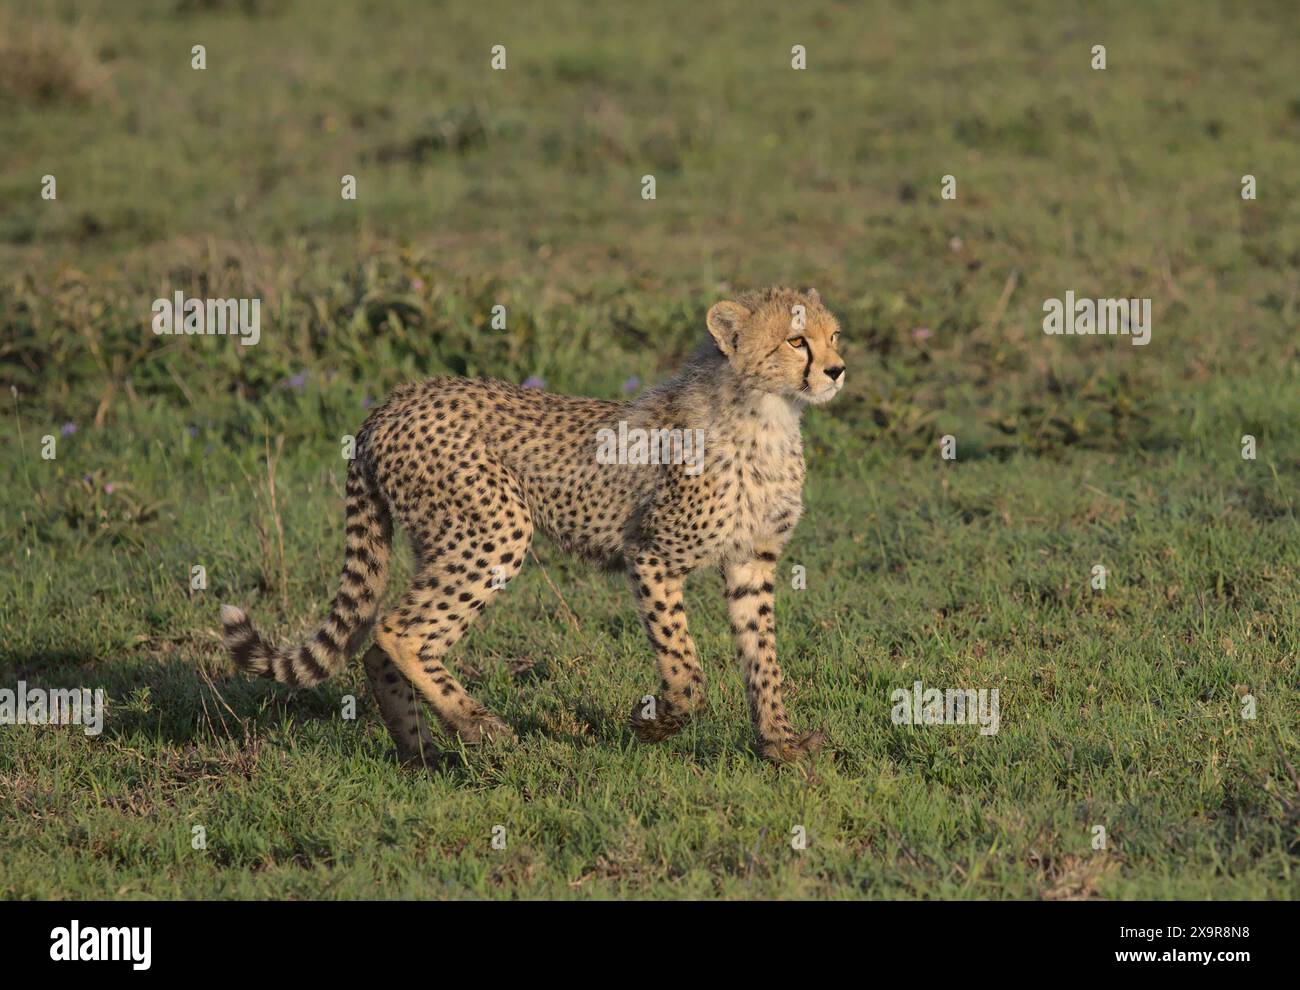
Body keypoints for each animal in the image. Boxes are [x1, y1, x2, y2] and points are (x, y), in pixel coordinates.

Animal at [221, 286, 846, 765]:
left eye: (834, 336)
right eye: (796, 341)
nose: (838, 370)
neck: (767, 414)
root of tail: (397, 397)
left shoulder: (751, 561)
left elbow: (762, 657)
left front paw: (780, 744)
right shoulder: (651, 554)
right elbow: (685, 665)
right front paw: (655, 724)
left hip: (442, 540)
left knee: (379, 644)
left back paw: (421, 752)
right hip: (495, 529)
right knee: (400, 631)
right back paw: (481, 727)